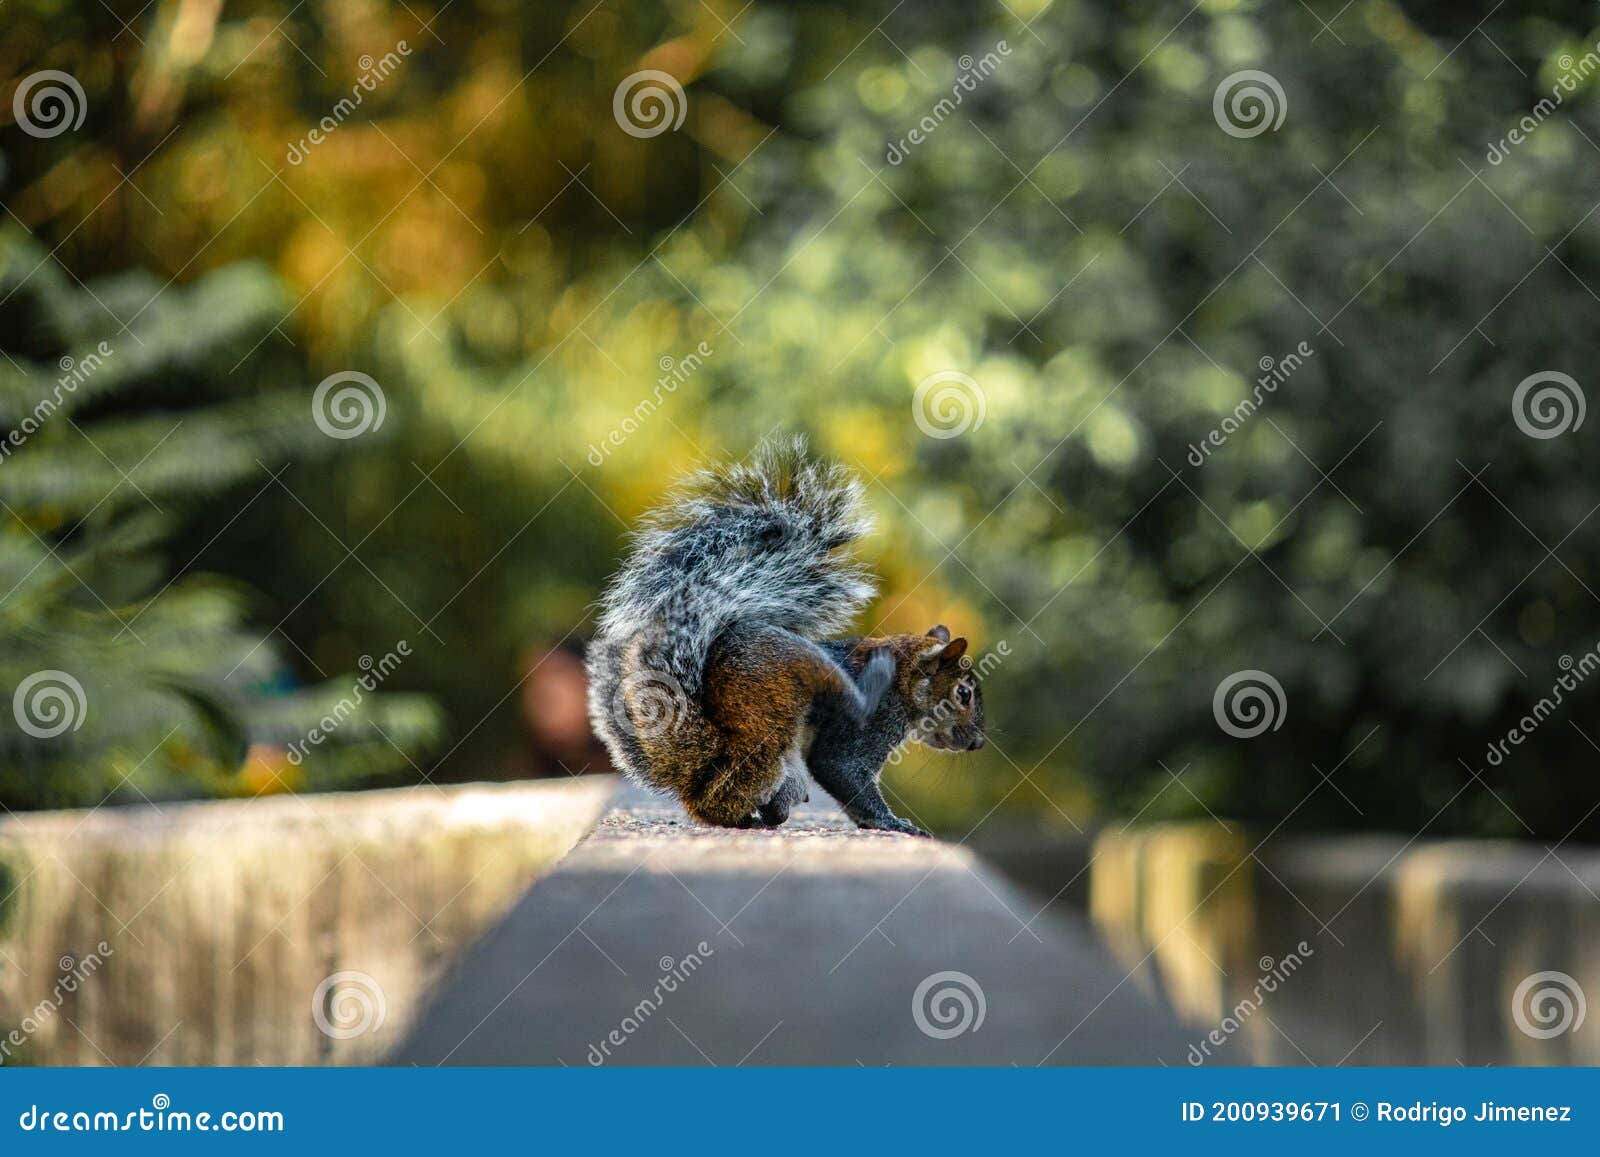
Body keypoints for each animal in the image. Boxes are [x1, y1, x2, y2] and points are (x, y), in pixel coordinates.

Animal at [586, 436, 985, 836]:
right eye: (963, 693)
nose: (978, 743)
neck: (904, 679)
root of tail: (702, 772)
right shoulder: (871, 725)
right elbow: (839, 767)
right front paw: (891, 822)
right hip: (781, 694)